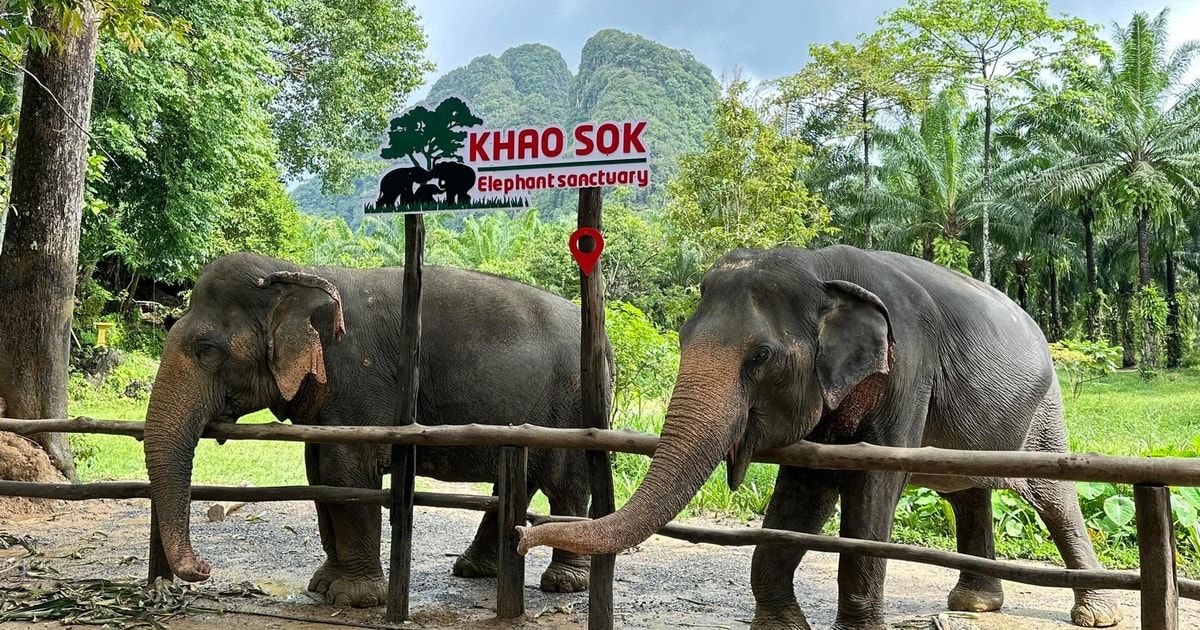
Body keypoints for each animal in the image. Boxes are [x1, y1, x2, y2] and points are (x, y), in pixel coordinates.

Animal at [144, 252, 613, 608]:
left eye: (206, 350)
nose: (203, 570)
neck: (298, 273)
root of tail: (604, 342)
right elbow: (319, 474)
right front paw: (322, 586)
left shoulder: (359, 379)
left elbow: (345, 473)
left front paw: (354, 599)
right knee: (519, 479)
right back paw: (472, 570)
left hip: (575, 407)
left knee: (567, 485)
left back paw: (563, 583)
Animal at [519, 245, 1123, 630]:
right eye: (684, 339)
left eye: (760, 357)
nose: (524, 536)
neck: (822, 268)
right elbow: (804, 492)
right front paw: (782, 625)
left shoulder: (909, 368)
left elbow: (873, 486)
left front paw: (856, 629)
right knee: (967, 491)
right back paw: (974, 605)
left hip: (1045, 410)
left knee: (1057, 497)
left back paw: (1097, 615)